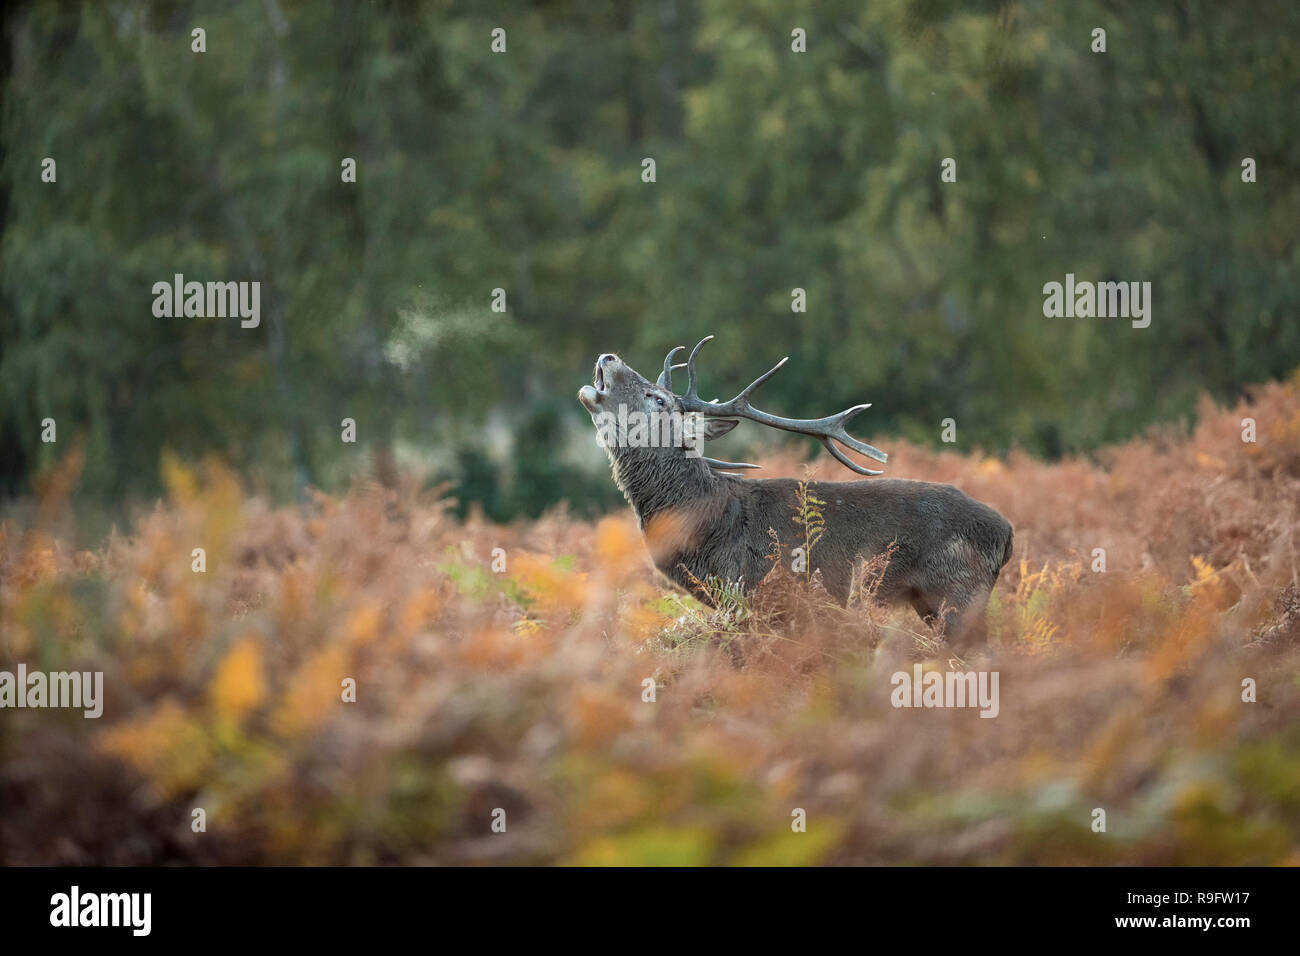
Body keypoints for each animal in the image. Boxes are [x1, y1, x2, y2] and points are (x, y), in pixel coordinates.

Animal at [577, 337, 1014, 645]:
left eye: (658, 398)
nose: (609, 357)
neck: (705, 528)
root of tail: (1006, 534)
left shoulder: (750, 591)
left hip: (958, 593)